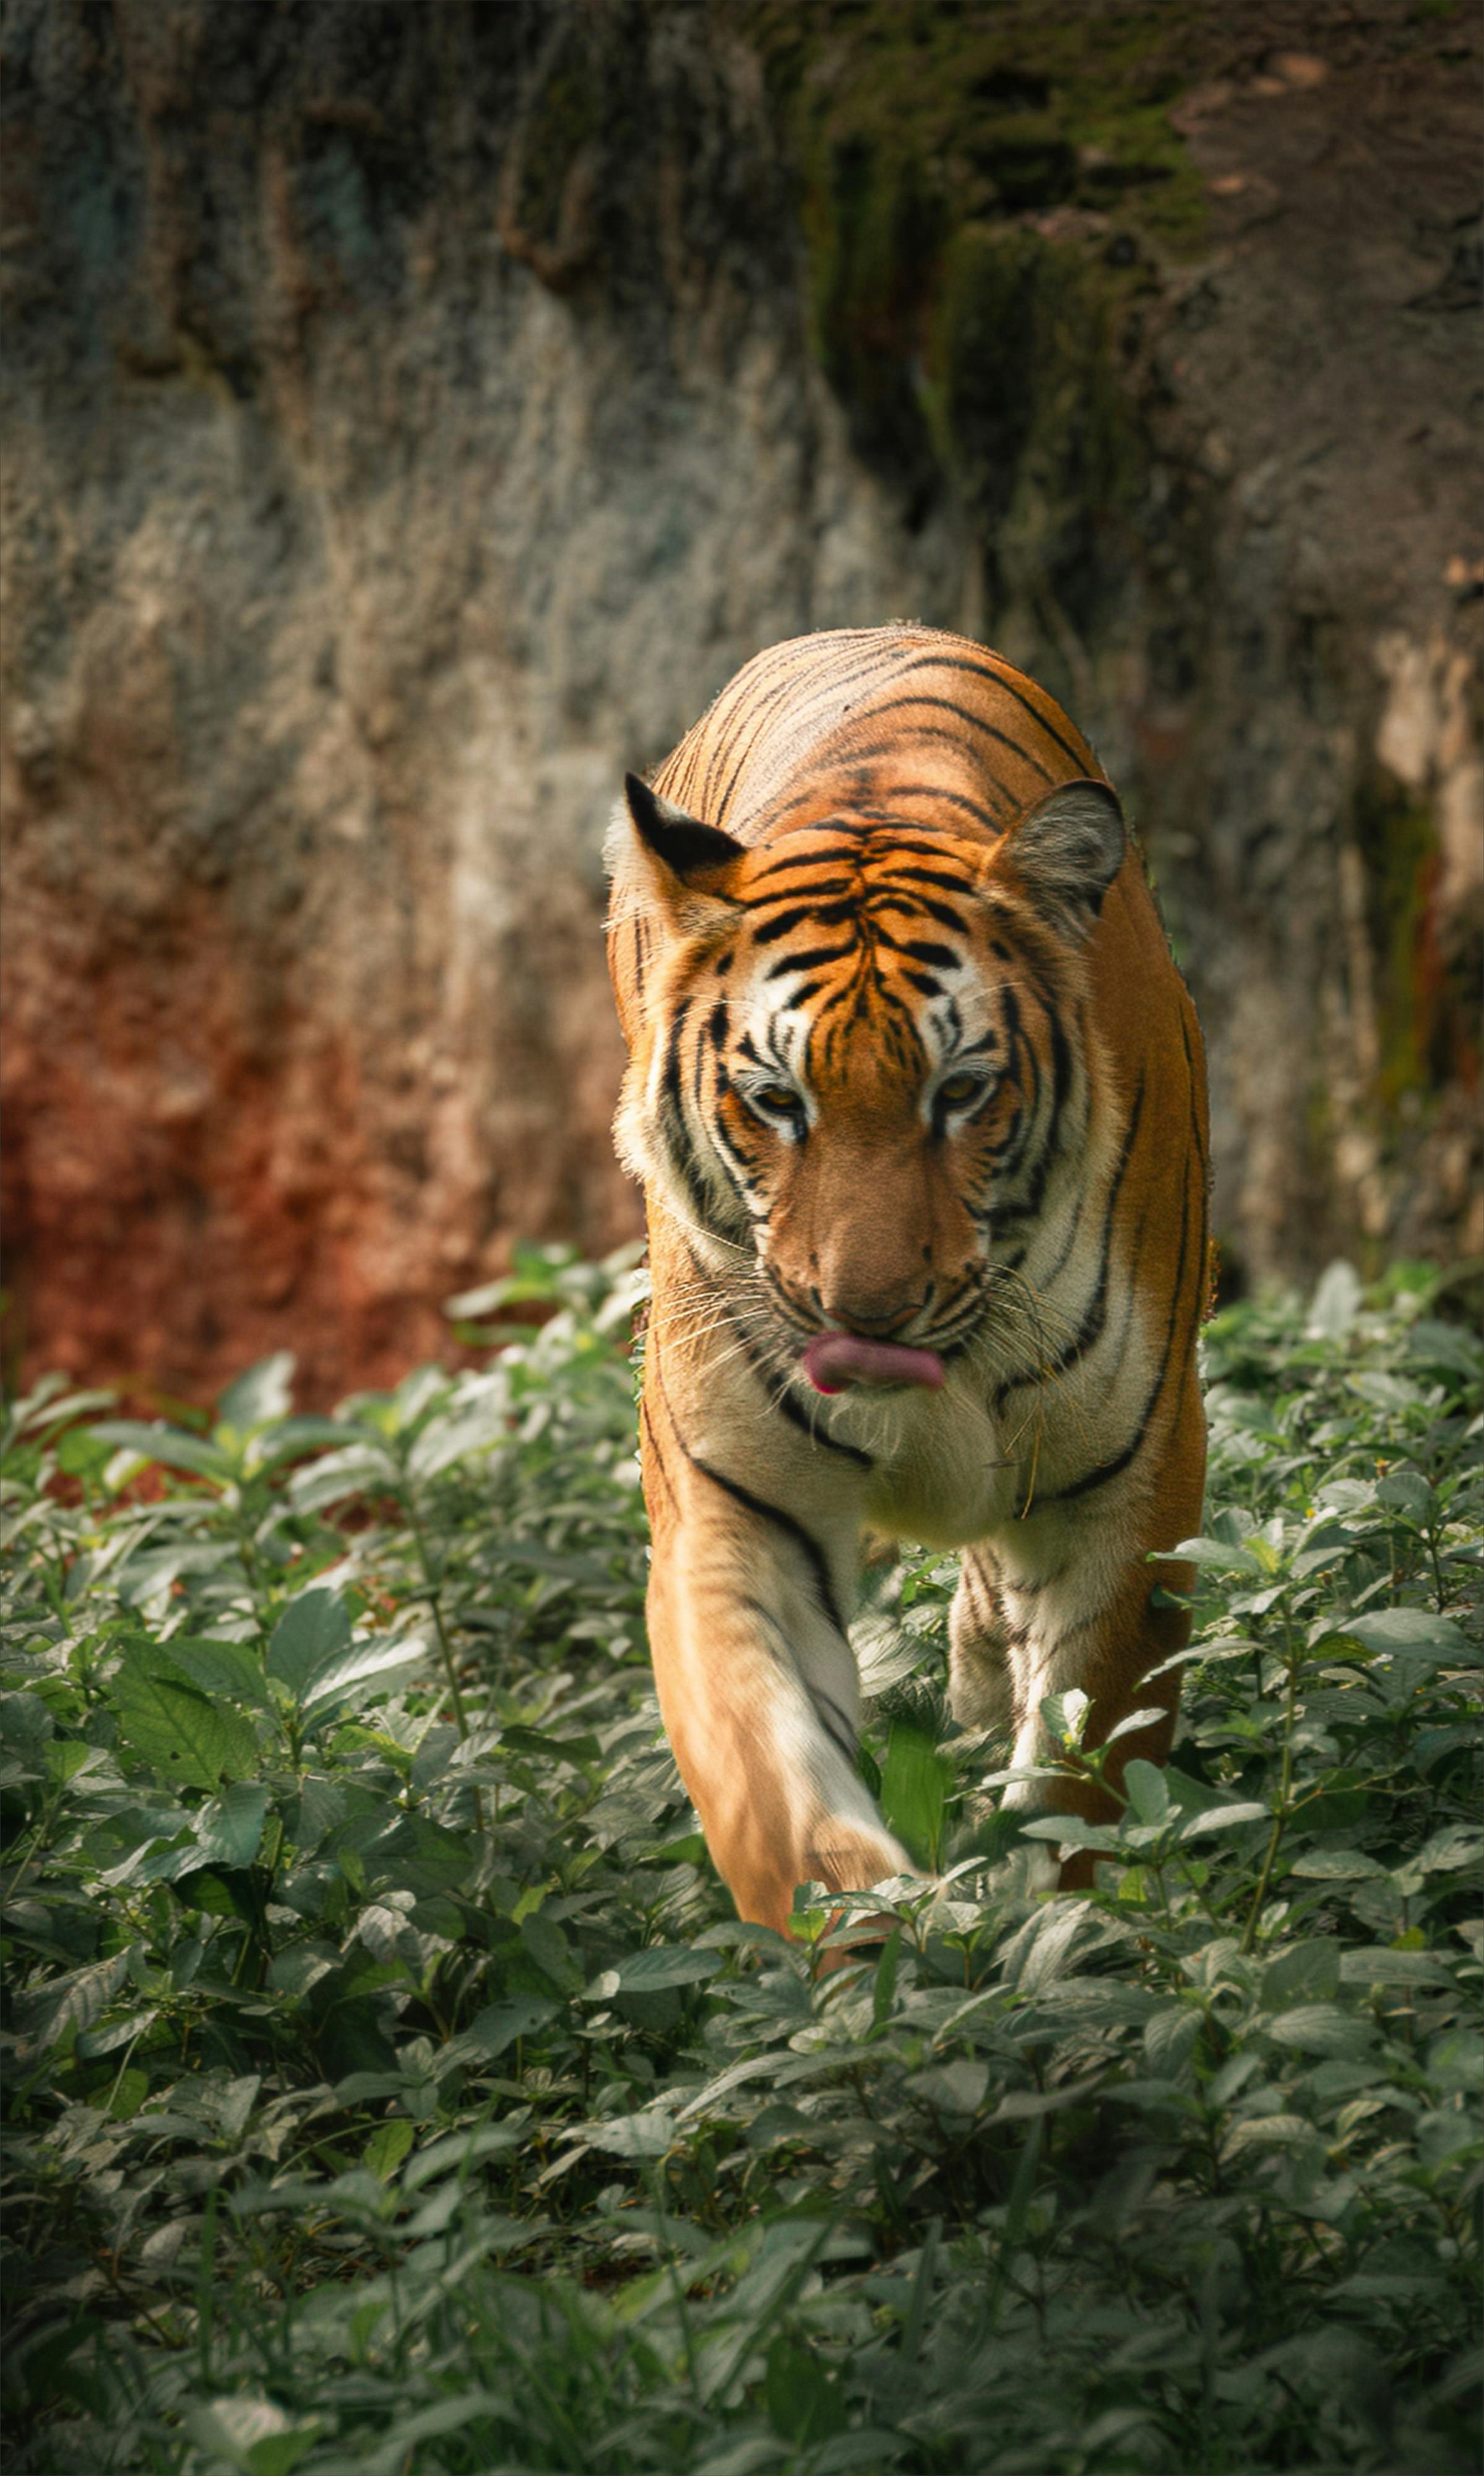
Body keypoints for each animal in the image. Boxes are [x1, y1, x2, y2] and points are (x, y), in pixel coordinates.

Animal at [605, 624, 1209, 1935]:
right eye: (776, 1100)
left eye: (961, 1093)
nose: (864, 1317)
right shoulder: (734, 1505)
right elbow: (769, 1784)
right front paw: (873, 1947)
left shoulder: (1135, 1487)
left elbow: (1081, 1782)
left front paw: (1055, 1942)